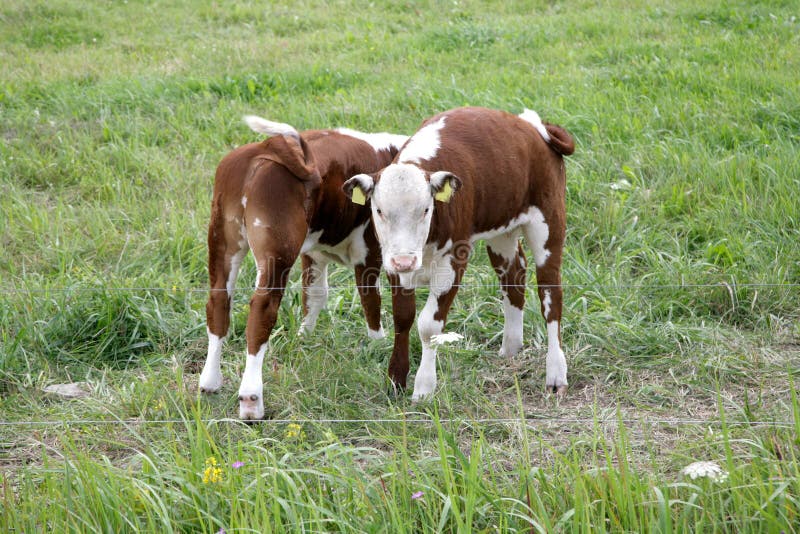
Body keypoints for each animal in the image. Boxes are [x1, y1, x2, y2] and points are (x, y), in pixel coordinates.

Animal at [200, 116, 408, 419]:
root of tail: (264, 148)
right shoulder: (370, 249)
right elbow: (370, 297)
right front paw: (377, 344)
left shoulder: (314, 252)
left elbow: (314, 294)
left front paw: (304, 338)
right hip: (277, 251)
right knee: (262, 309)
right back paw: (251, 400)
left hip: (223, 241)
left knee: (218, 301)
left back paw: (209, 382)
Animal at [342, 106, 574, 400]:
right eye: (380, 210)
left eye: (426, 210)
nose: (405, 261)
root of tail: (532, 125)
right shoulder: (393, 260)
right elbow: (402, 317)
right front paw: (396, 379)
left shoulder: (453, 260)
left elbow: (428, 326)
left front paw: (424, 388)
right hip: (501, 227)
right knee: (513, 277)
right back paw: (511, 347)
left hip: (548, 219)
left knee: (550, 292)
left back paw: (556, 373)